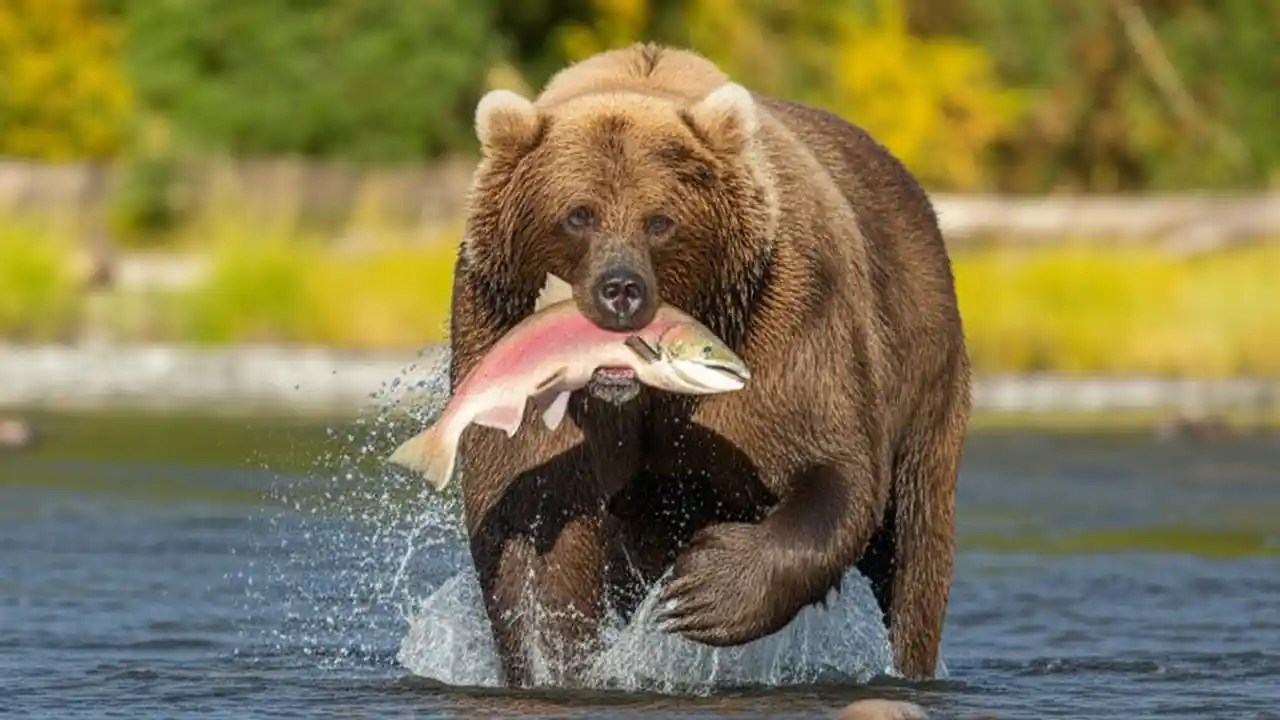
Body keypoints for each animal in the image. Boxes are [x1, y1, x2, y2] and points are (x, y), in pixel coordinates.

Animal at [446, 43, 971, 686]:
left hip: (925, 374)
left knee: (915, 549)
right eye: (578, 214)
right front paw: (554, 664)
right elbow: (536, 514)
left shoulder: (786, 315)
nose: (621, 290)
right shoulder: (504, 341)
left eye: (660, 220)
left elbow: (833, 468)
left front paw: (703, 589)